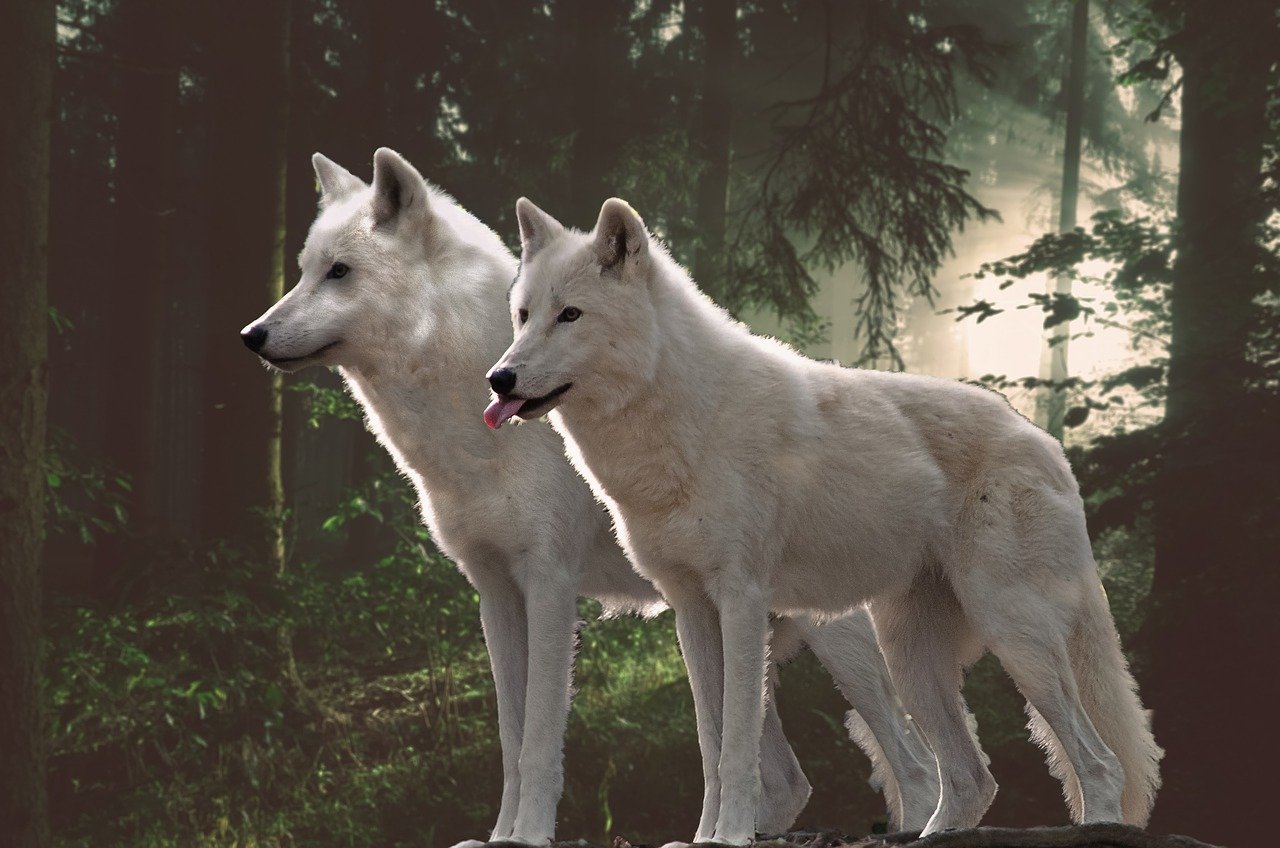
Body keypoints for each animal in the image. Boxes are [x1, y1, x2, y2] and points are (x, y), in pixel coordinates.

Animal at [240, 149, 942, 846]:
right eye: (303, 272)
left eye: (339, 272)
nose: (252, 335)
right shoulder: (494, 594)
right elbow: (509, 739)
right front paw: (498, 835)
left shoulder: (550, 586)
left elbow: (537, 743)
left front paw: (526, 836)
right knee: (788, 779)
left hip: (836, 639)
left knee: (912, 764)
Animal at [486, 196, 1163, 844]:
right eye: (523, 315)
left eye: (570, 315)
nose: (498, 378)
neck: (682, 422)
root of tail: (1046, 443)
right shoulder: (690, 610)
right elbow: (710, 747)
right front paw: (702, 837)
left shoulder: (742, 599)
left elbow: (737, 750)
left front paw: (730, 837)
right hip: (911, 661)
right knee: (973, 778)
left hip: (1013, 638)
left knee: (1098, 763)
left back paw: (1098, 824)